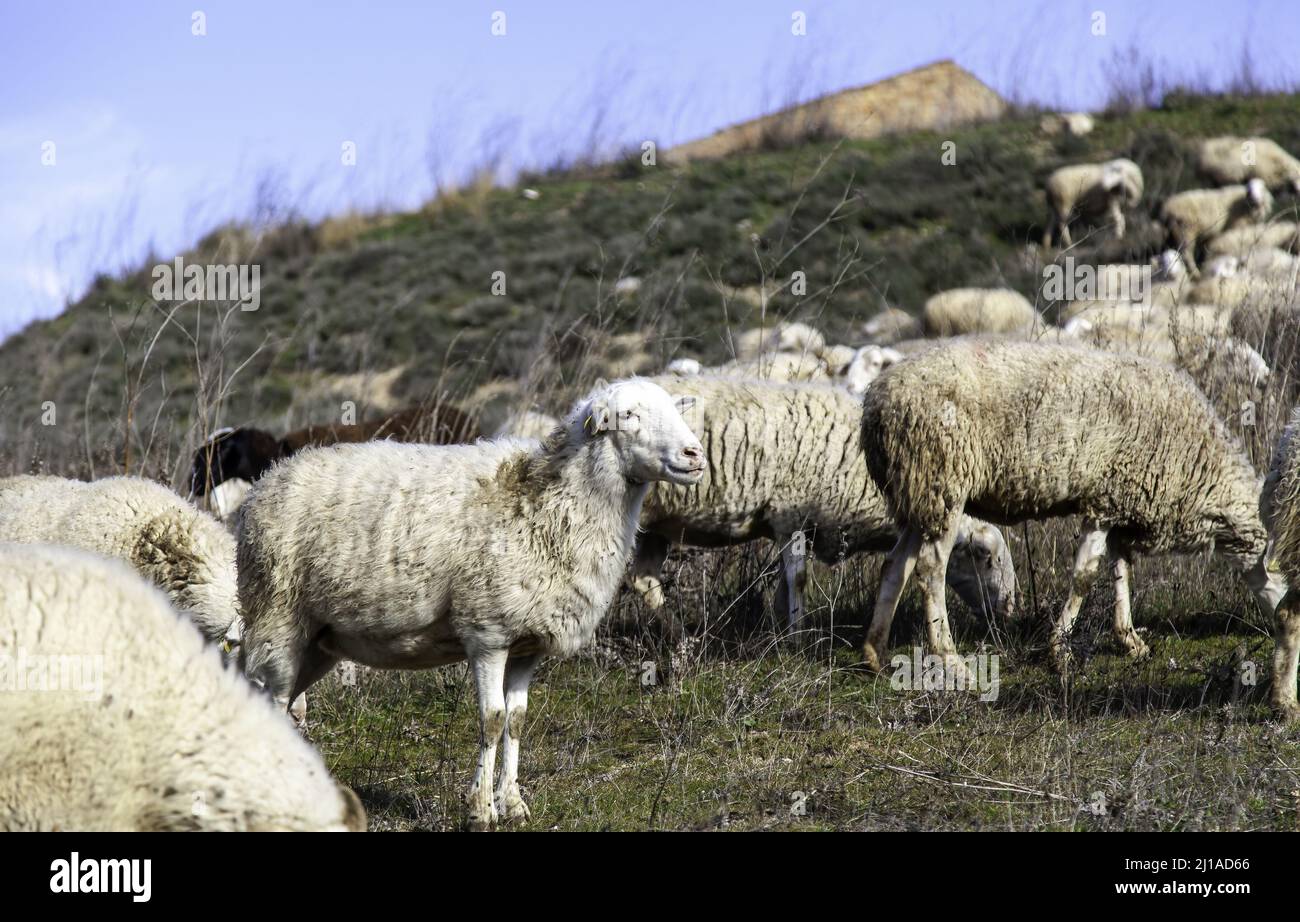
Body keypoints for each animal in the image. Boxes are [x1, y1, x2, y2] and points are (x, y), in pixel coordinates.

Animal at [235, 378, 705, 830]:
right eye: (628, 415)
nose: (694, 453)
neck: (550, 501)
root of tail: (267, 481)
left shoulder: (528, 644)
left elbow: (517, 720)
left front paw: (513, 804)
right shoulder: (488, 633)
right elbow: (493, 720)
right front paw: (480, 809)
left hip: (320, 639)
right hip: (277, 615)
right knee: (272, 701)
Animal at [631, 376, 1017, 627]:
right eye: (986, 557)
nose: (1009, 609)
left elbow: (783, 587)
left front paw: (780, 631)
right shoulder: (790, 517)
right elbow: (798, 580)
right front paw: (797, 637)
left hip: (654, 527)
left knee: (644, 580)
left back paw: (676, 635)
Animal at [859, 340, 1285, 685]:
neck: (1202, 469)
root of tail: (875, 401)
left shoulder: (1122, 501)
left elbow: (1121, 568)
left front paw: (1129, 639)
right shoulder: (1106, 501)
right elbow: (1084, 577)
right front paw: (1059, 651)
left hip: (918, 492)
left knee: (896, 564)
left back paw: (875, 654)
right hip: (943, 476)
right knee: (930, 568)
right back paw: (951, 661)